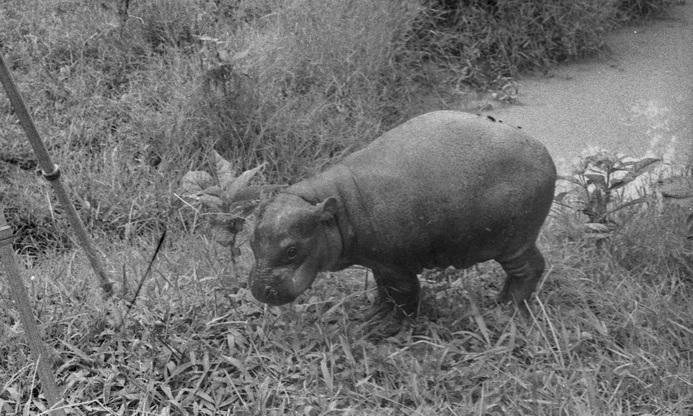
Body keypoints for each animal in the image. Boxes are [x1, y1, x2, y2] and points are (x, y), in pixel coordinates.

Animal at [249, 111, 556, 334]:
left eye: (292, 250)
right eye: (251, 243)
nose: (258, 290)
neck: (332, 205)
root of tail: (543, 150)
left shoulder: (397, 266)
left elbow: (405, 296)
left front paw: (384, 328)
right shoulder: (379, 263)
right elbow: (383, 292)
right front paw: (371, 316)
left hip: (514, 242)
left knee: (530, 269)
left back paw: (509, 311)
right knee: (517, 274)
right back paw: (497, 301)